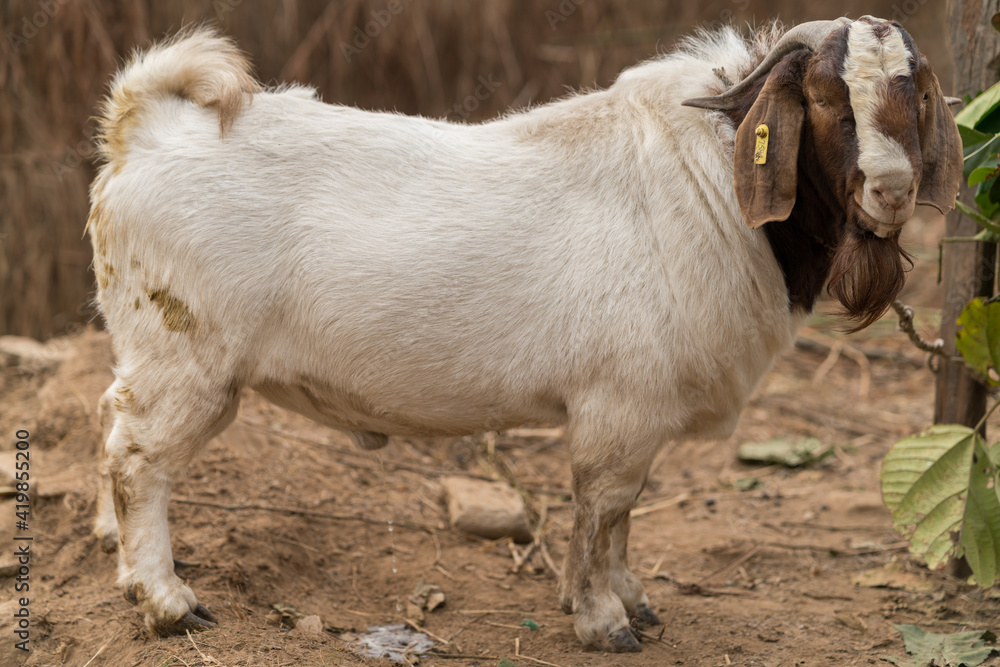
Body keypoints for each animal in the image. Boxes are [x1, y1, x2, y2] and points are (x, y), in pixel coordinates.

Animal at [88, 17, 960, 653]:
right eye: (827, 100)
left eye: (913, 97)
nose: (892, 191)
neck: (707, 183)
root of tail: (144, 127)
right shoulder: (619, 408)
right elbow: (602, 510)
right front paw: (603, 620)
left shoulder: (637, 417)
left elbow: (622, 516)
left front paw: (633, 600)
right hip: (186, 359)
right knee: (137, 460)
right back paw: (166, 600)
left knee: (114, 431)